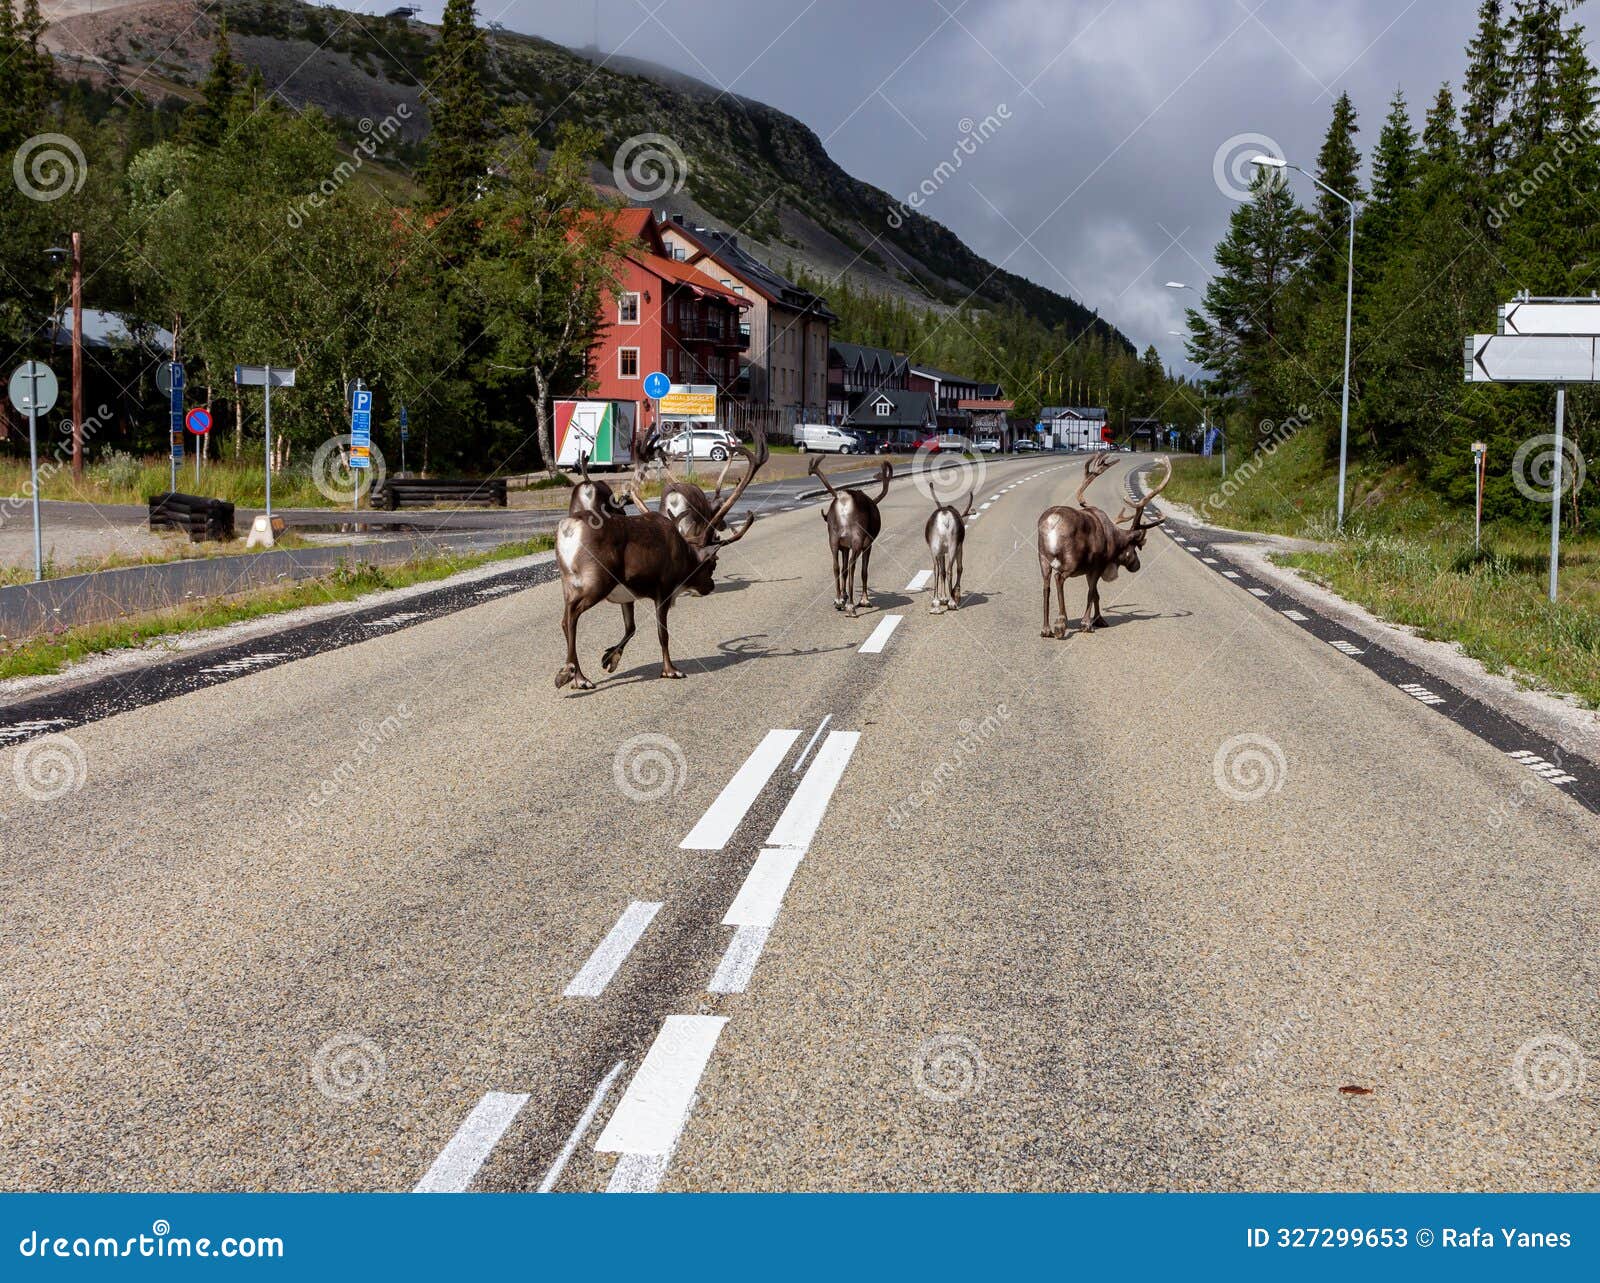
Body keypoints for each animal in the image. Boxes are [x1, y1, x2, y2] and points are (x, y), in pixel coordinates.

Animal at [553, 432, 767, 690]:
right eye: (712, 563)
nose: (710, 587)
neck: (685, 554)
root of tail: (569, 528)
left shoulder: (627, 595)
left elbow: (631, 628)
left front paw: (610, 658)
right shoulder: (663, 589)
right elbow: (662, 633)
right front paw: (670, 670)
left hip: (568, 582)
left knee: (565, 619)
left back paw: (576, 675)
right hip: (596, 583)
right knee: (571, 617)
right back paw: (574, 676)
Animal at [810, 456, 892, 617]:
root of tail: (842, 497)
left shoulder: (844, 546)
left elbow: (843, 570)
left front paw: (843, 595)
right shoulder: (868, 544)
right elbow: (864, 571)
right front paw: (864, 600)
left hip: (833, 538)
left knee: (836, 566)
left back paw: (838, 601)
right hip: (857, 539)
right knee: (852, 566)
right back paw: (851, 606)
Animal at [1035, 453, 1171, 638]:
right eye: (1134, 547)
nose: (1137, 565)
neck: (1113, 539)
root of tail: (1051, 521)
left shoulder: (1088, 570)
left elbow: (1096, 594)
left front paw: (1099, 620)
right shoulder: (1098, 564)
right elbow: (1092, 592)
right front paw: (1087, 623)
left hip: (1042, 558)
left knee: (1046, 586)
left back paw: (1045, 628)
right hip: (1071, 561)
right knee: (1059, 578)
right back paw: (1060, 624)